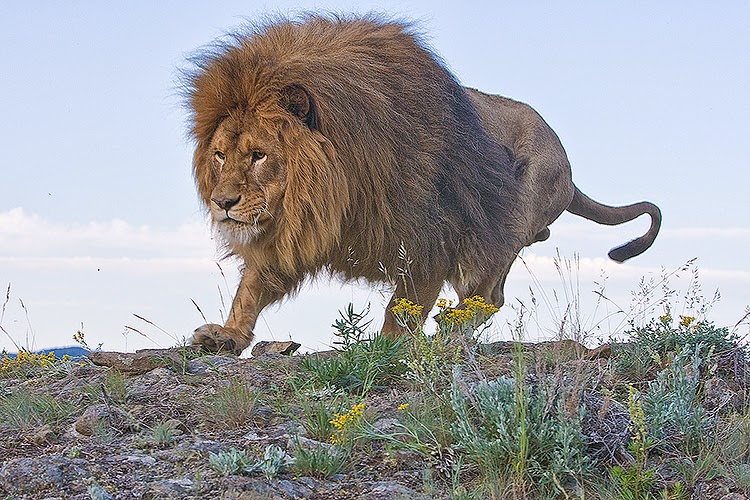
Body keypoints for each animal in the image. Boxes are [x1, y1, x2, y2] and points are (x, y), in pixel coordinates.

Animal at [182, 15, 661, 355]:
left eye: (259, 155)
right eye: (220, 155)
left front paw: (390, 345)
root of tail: (569, 169)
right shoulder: (291, 235)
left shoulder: (434, 235)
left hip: (511, 219)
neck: (330, 192)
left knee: (489, 295)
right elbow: (250, 289)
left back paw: (450, 336)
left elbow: (405, 304)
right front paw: (227, 335)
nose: (222, 202)